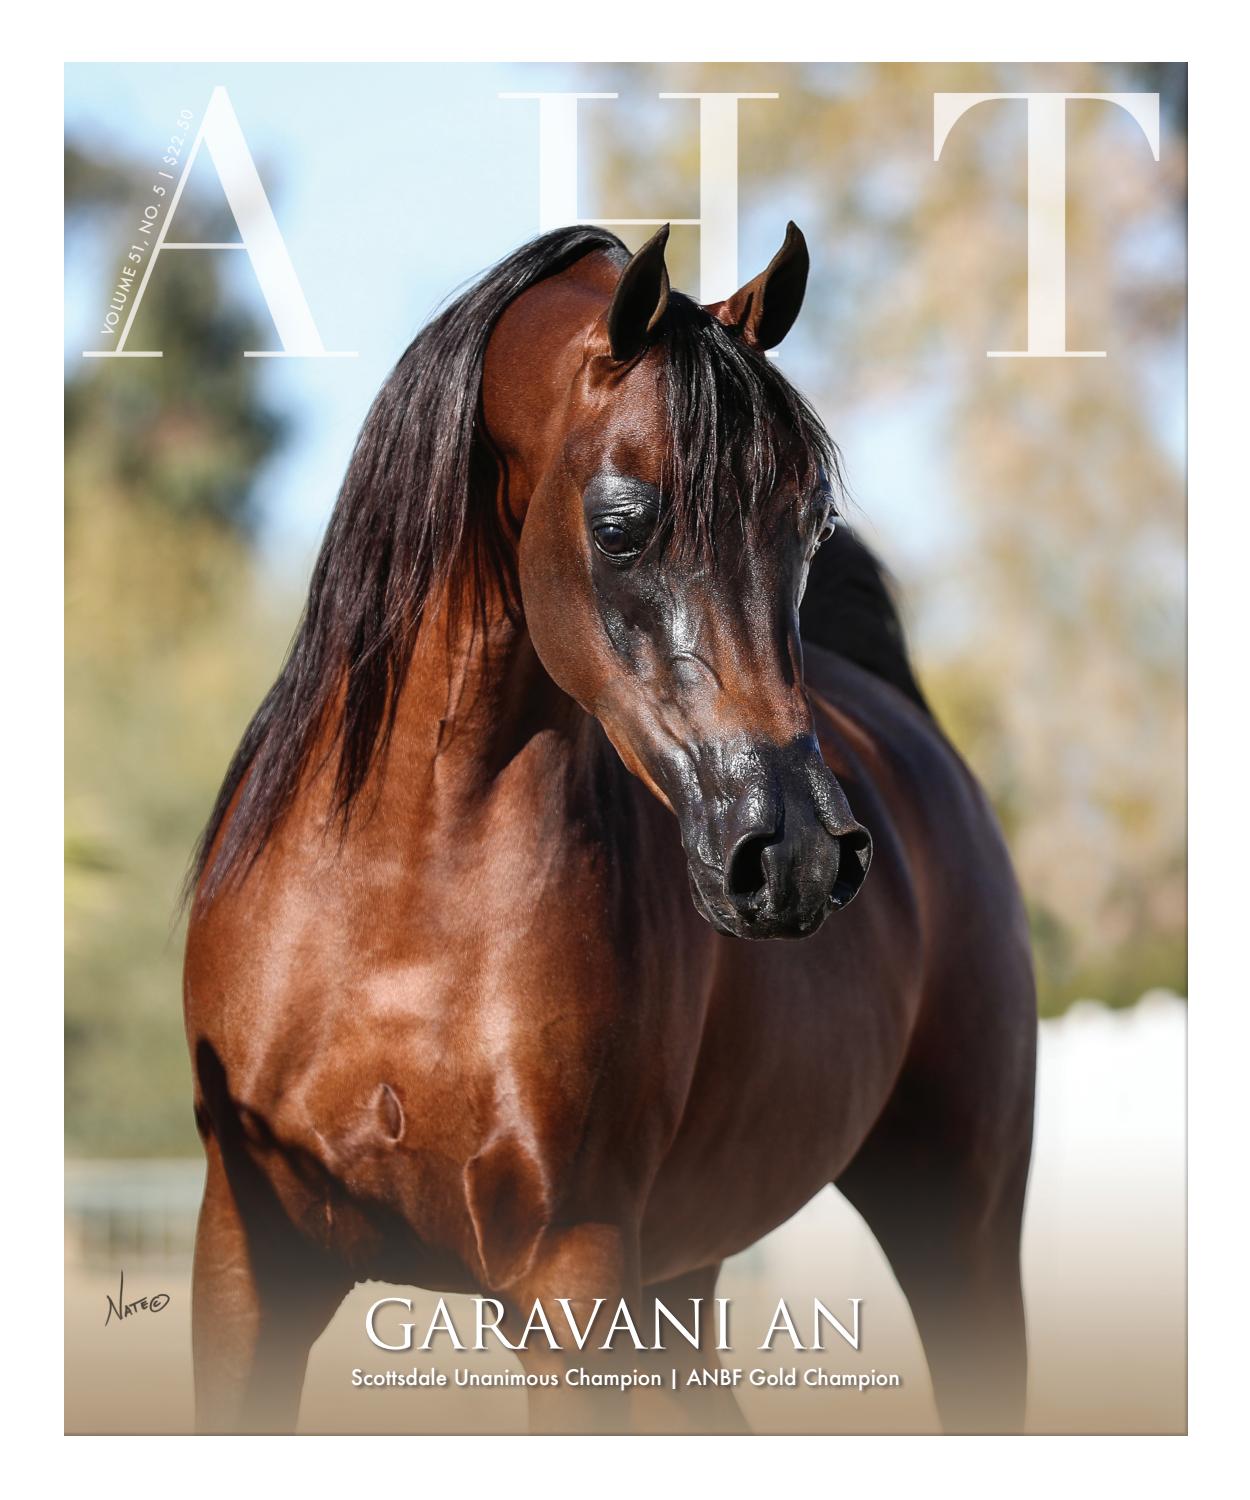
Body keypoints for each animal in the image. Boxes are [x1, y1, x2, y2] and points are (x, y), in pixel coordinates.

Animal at [182, 221, 1037, 1436]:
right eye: (622, 523)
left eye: (812, 523)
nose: (795, 857)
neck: (400, 898)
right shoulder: (247, 1262)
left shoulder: (569, 1281)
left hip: (958, 1229)